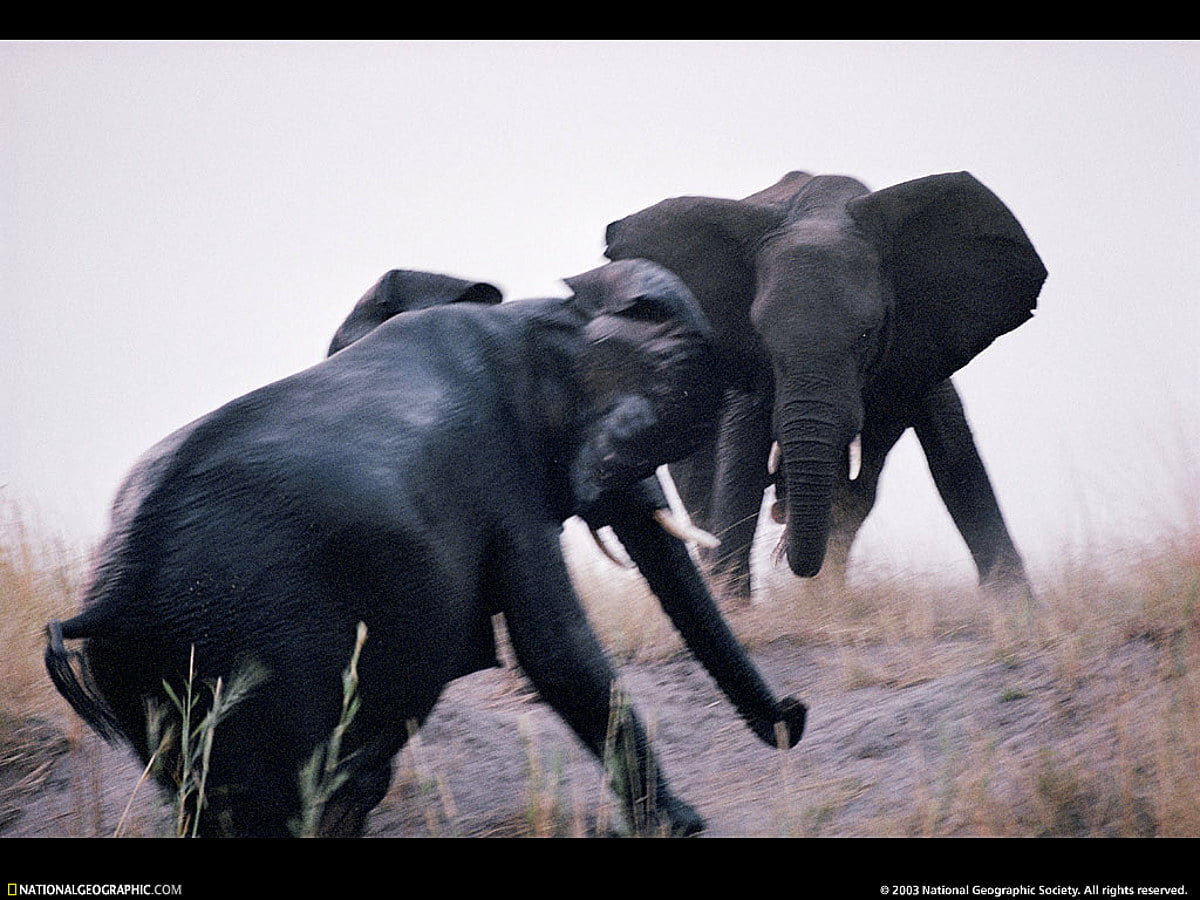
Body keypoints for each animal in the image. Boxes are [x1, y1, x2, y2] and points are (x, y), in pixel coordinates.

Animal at [45, 259, 807, 838]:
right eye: (634, 452)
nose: (794, 716)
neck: (538, 321)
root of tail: (109, 596)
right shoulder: (498, 468)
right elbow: (555, 648)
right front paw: (685, 826)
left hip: (155, 673)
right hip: (245, 648)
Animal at [604, 171, 1047, 599]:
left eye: (867, 334)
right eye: (761, 336)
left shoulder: (923, 339)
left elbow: (956, 456)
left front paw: (1016, 609)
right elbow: (740, 465)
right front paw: (736, 607)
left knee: (855, 502)